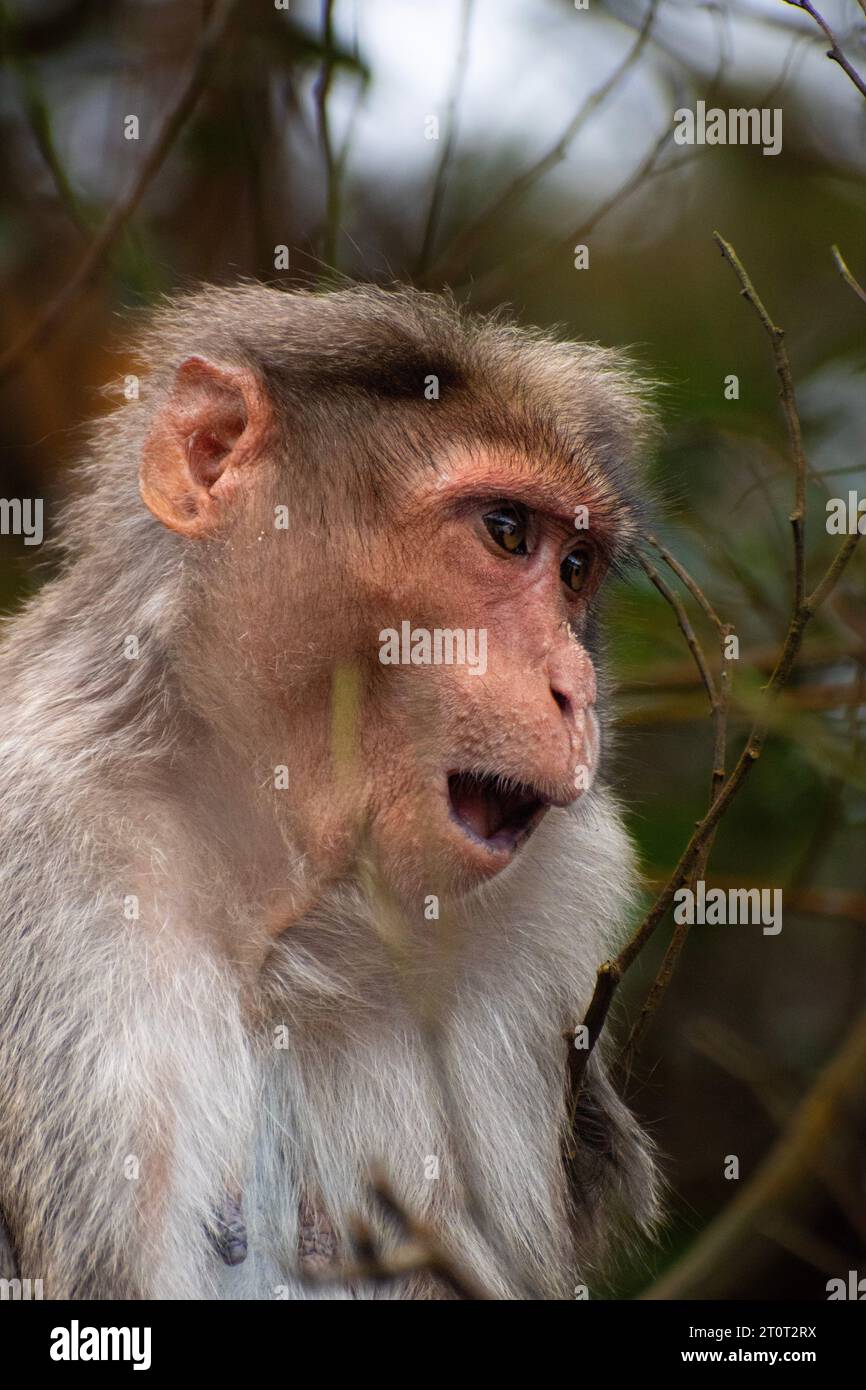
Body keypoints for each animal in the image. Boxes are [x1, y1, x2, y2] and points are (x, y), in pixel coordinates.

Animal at [0, 283, 659, 1299]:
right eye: (507, 532)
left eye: (575, 569)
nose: (574, 691)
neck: (274, 906)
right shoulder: (41, 861)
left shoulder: (557, 910)